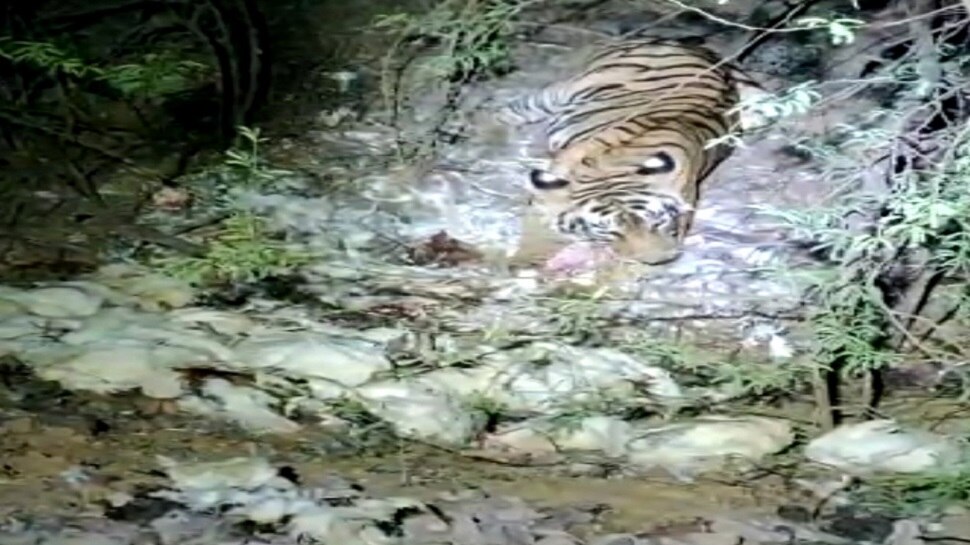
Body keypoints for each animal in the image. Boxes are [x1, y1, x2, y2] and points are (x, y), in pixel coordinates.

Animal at [498, 37, 764, 266]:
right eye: (610, 231)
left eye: (659, 221)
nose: (658, 260)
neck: (609, 168)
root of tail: (688, 44)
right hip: (563, 90)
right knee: (507, 112)